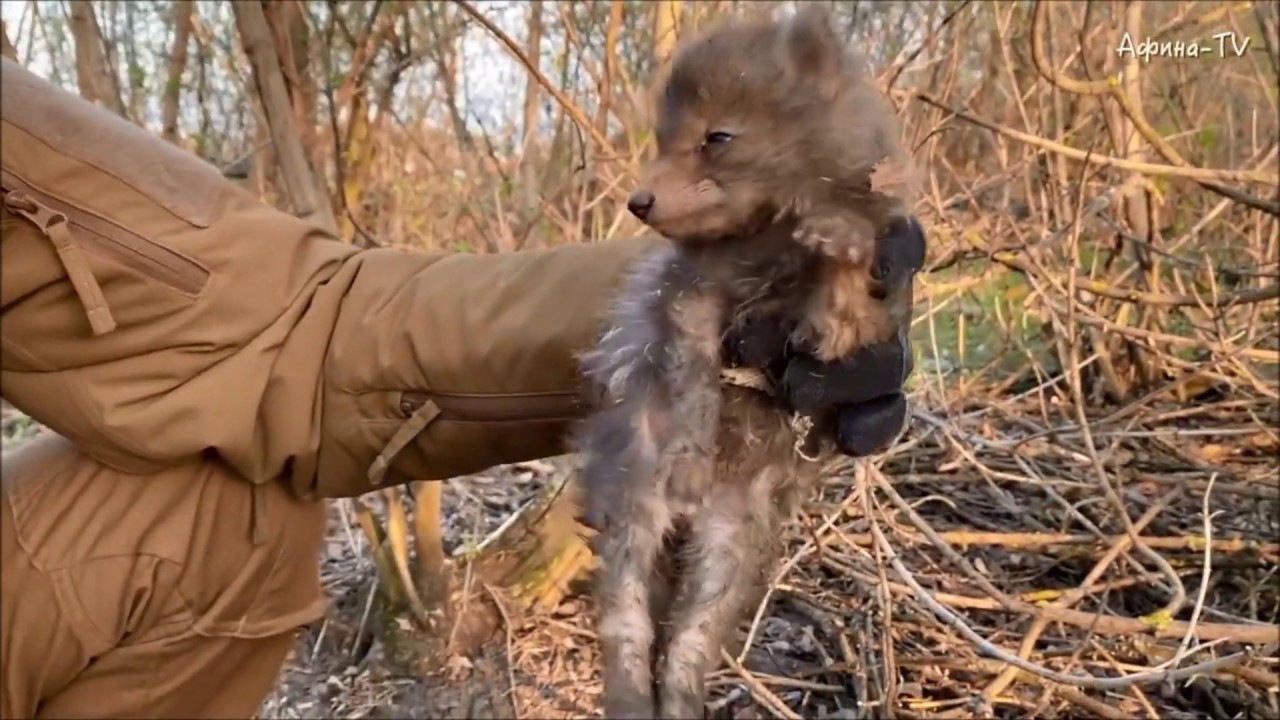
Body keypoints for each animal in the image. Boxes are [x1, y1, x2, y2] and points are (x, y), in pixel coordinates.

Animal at [573, 6, 918, 719]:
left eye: (718, 137)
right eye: (664, 137)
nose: (637, 201)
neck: (765, 237)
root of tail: (693, 518)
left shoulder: (864, 316)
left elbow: (846, 303)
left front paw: (837, 242)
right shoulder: (690, 293)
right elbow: (694, 376)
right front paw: (693, 445)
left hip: (734, 545)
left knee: (688, 646)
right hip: (630, 508)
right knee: (628, 627)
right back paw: (630, 697)